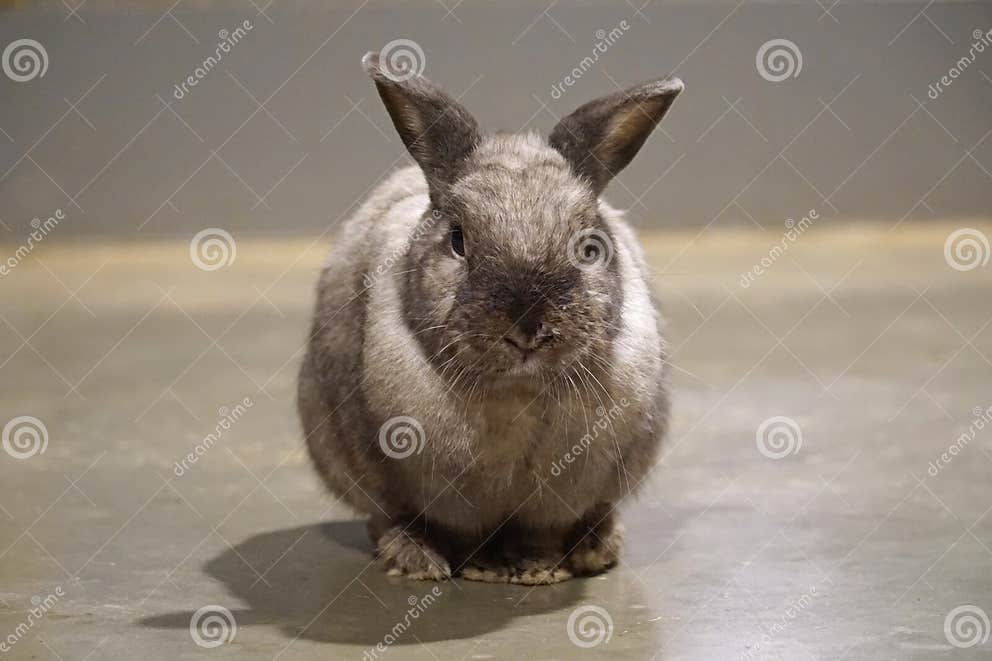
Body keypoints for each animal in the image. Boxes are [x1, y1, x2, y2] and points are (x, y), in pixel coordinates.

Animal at [297, 51, 682, 584]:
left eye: (589, 248)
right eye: (458, 240)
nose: (526, 329)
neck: (518, 392)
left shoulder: (554, 503)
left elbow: (540, 535)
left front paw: (538, 571)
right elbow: (447, 529)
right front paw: (470, 568)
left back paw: (597, 547)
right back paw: (412, 555)